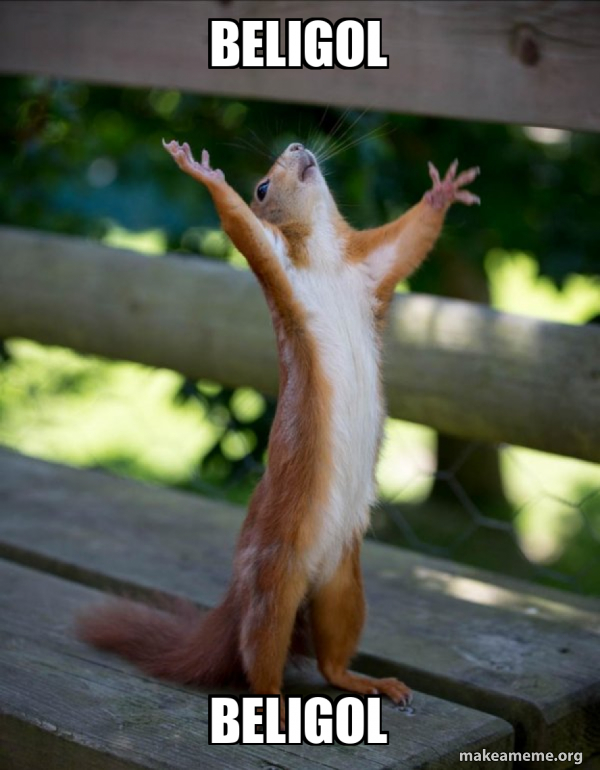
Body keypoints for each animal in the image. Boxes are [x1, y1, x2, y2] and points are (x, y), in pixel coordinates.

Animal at [77, 138, 479, 722]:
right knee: (259, 658)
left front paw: (443, 192)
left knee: (331, 660)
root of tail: (239, 595)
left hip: (343, 586)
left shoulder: (371, 267)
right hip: (273, 584)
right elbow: (240, 225)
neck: (327, 258)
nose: (296, 146)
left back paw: (369, 682)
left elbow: (409, 240)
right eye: (262, 187)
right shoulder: (277, 264)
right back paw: (279, 706)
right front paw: (204, 173)